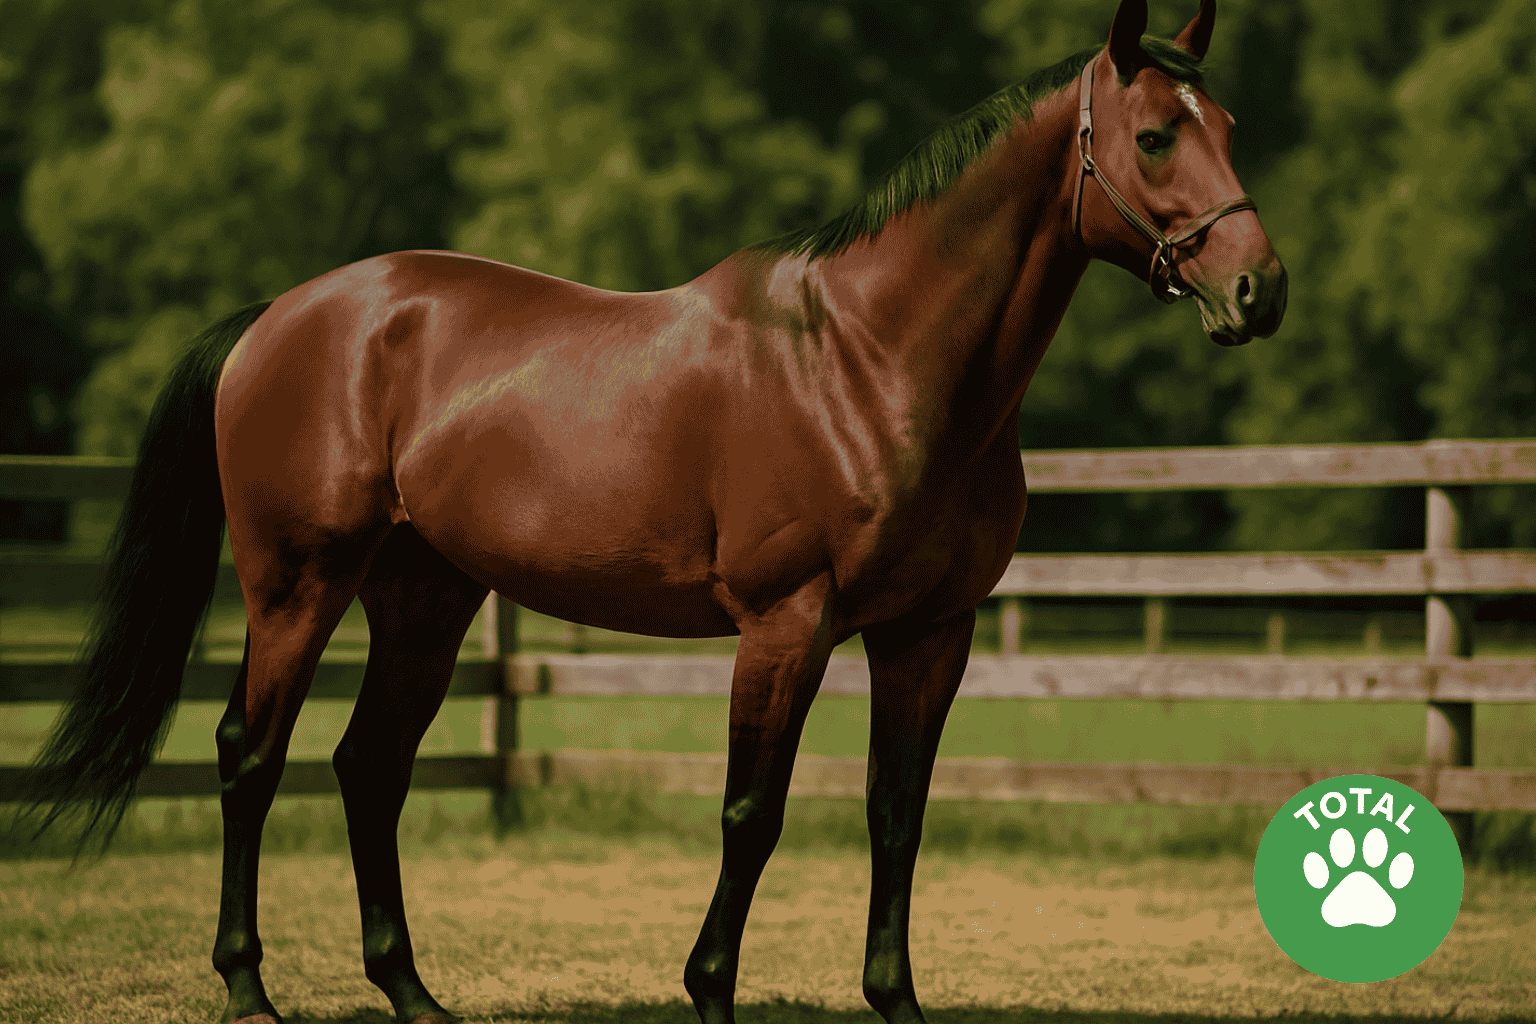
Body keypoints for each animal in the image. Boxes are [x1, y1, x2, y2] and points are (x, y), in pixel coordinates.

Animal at [21, 0, 1284, 1021]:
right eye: (1156, 134)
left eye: (1229, 125)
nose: (1259, 291)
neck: (868, 359)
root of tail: (281, 317)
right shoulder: (787, 624)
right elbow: (751, 812)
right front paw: (709, 989)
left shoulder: (930, 635)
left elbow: (897, 813)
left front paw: (896, 1000)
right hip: (298, 584)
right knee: (251, 754)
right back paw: (247, 986)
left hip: (424, 597)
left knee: (368, 765)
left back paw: (412, 991)